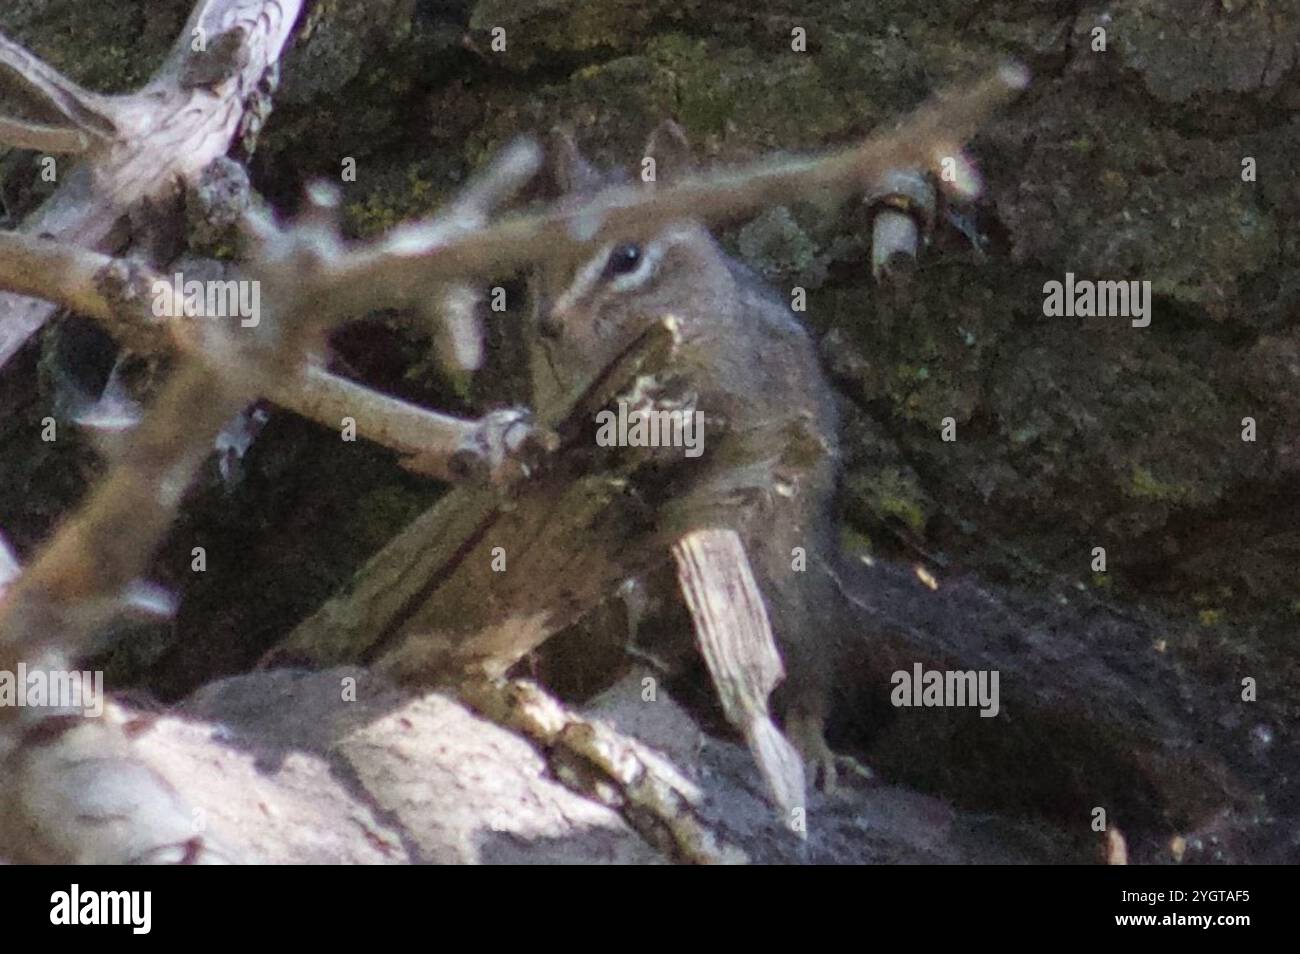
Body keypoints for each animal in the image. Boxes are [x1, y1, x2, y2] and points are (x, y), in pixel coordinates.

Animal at [527, 121, 857, 788]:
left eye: (628, 258)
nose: (548, 324)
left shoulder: (730, 396)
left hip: (792, 590)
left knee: (810, 677)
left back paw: (813, 748)